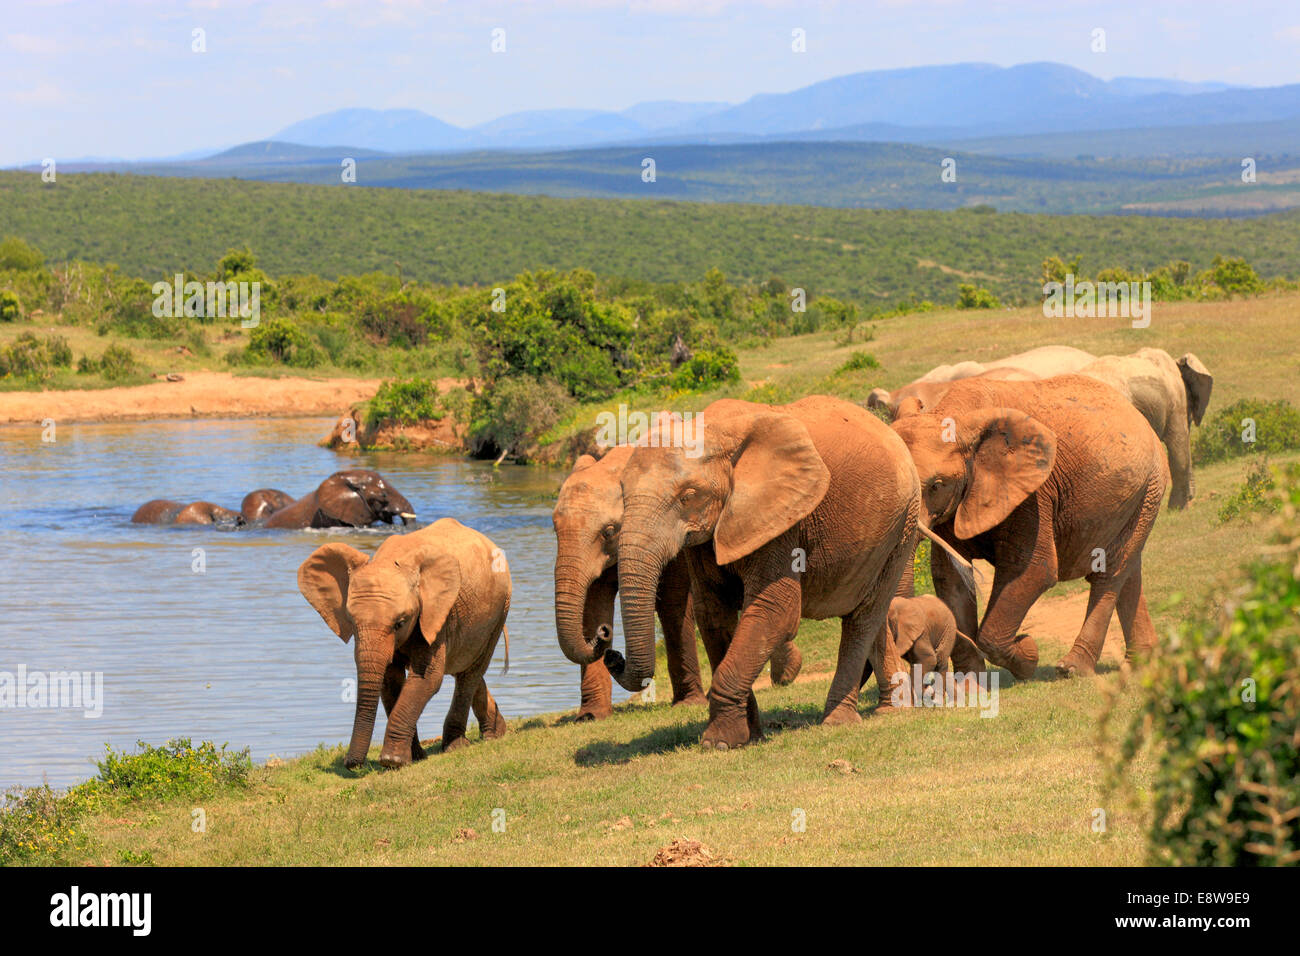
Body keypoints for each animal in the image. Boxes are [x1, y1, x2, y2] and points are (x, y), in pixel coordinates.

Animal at [298, 517, 510, 769]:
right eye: (351, 621)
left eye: (400, 623)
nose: (351, 763)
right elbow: (390, 680)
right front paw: (414, 757)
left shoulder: (436, 613)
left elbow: (426, 678)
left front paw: (393, 762)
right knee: (466, 667)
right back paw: (496, 733)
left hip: (500, 609)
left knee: (471, 672)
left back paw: (458, 745)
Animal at [605, 395, 964, 750]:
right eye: (621, 492)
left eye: (688, 496)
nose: (611, 651)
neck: (712, 430)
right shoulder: (709, 536)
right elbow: (713, 615)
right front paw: (748, 736)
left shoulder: (783, 523)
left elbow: (775, 611)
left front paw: (717, 742)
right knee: (872, 615)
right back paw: (890, 710)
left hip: (902, 526)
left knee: (863, 617)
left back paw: (839, 721)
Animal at [892, 374, 1168, 680]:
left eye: (936, 486)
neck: (952, 413)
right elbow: (950, 577)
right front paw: (971, 681)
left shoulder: (1033, 495)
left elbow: (1034, 570)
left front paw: (1028, 654)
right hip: (1139, 494)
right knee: (1129, 571)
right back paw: (1143, 663)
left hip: (1150, 487)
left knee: (1109, 573)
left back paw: (1072, 669)